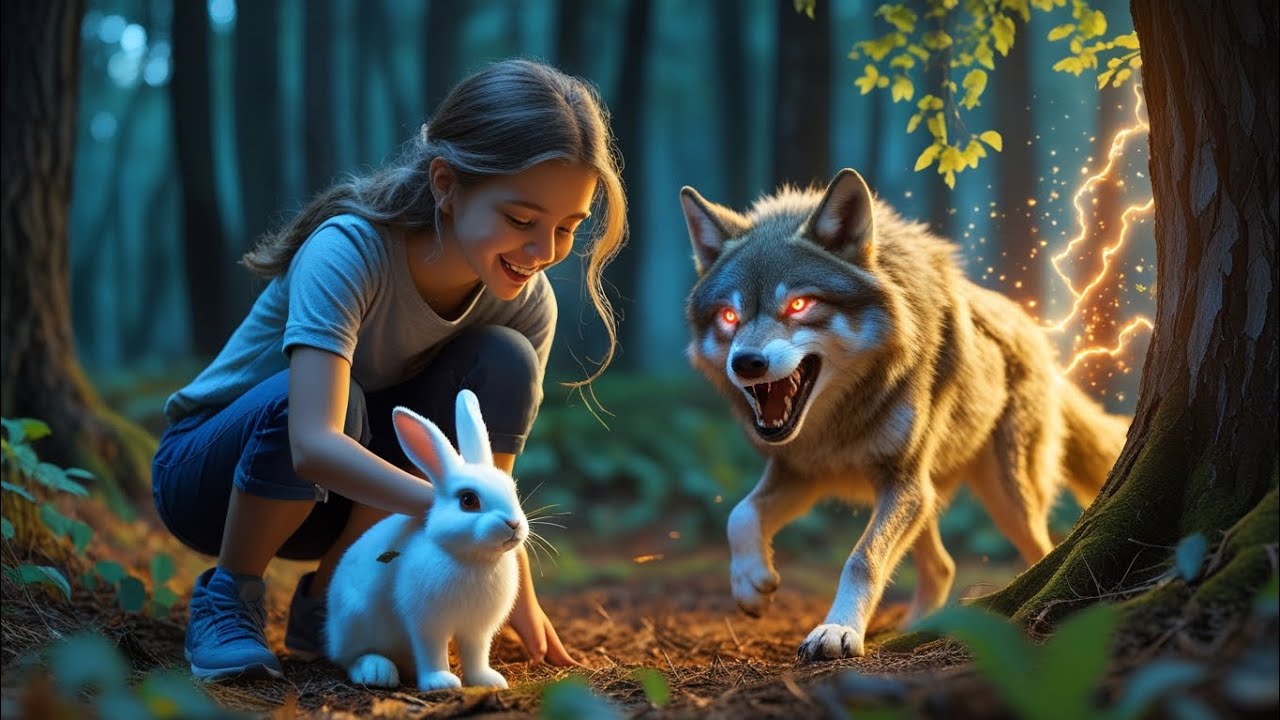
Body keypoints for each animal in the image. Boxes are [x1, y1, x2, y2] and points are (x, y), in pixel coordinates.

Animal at [325, 389, 527, 691]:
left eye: (512, 490)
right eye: (468, 500)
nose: (513, 524)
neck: (473, 561)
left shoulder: (476, 630)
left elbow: (476, 654)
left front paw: (487, 680)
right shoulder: (427, 624)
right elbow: (431, 651)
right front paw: (440, 682)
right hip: (357, 620)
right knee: (350, 657)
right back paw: (377, 671)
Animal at [680, 168, 1130, 661]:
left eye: (799, 304)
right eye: (729, 316)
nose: (746, 363)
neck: (839, 422)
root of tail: (1035, 331)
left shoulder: (901, 482)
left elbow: (861, 559)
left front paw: (838, 629)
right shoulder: (804, 472)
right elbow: (739, 514)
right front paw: (750, 585)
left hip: (1001, 497)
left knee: (1041, 549)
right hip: (928, 498)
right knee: (944, 566)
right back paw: (918, 627)